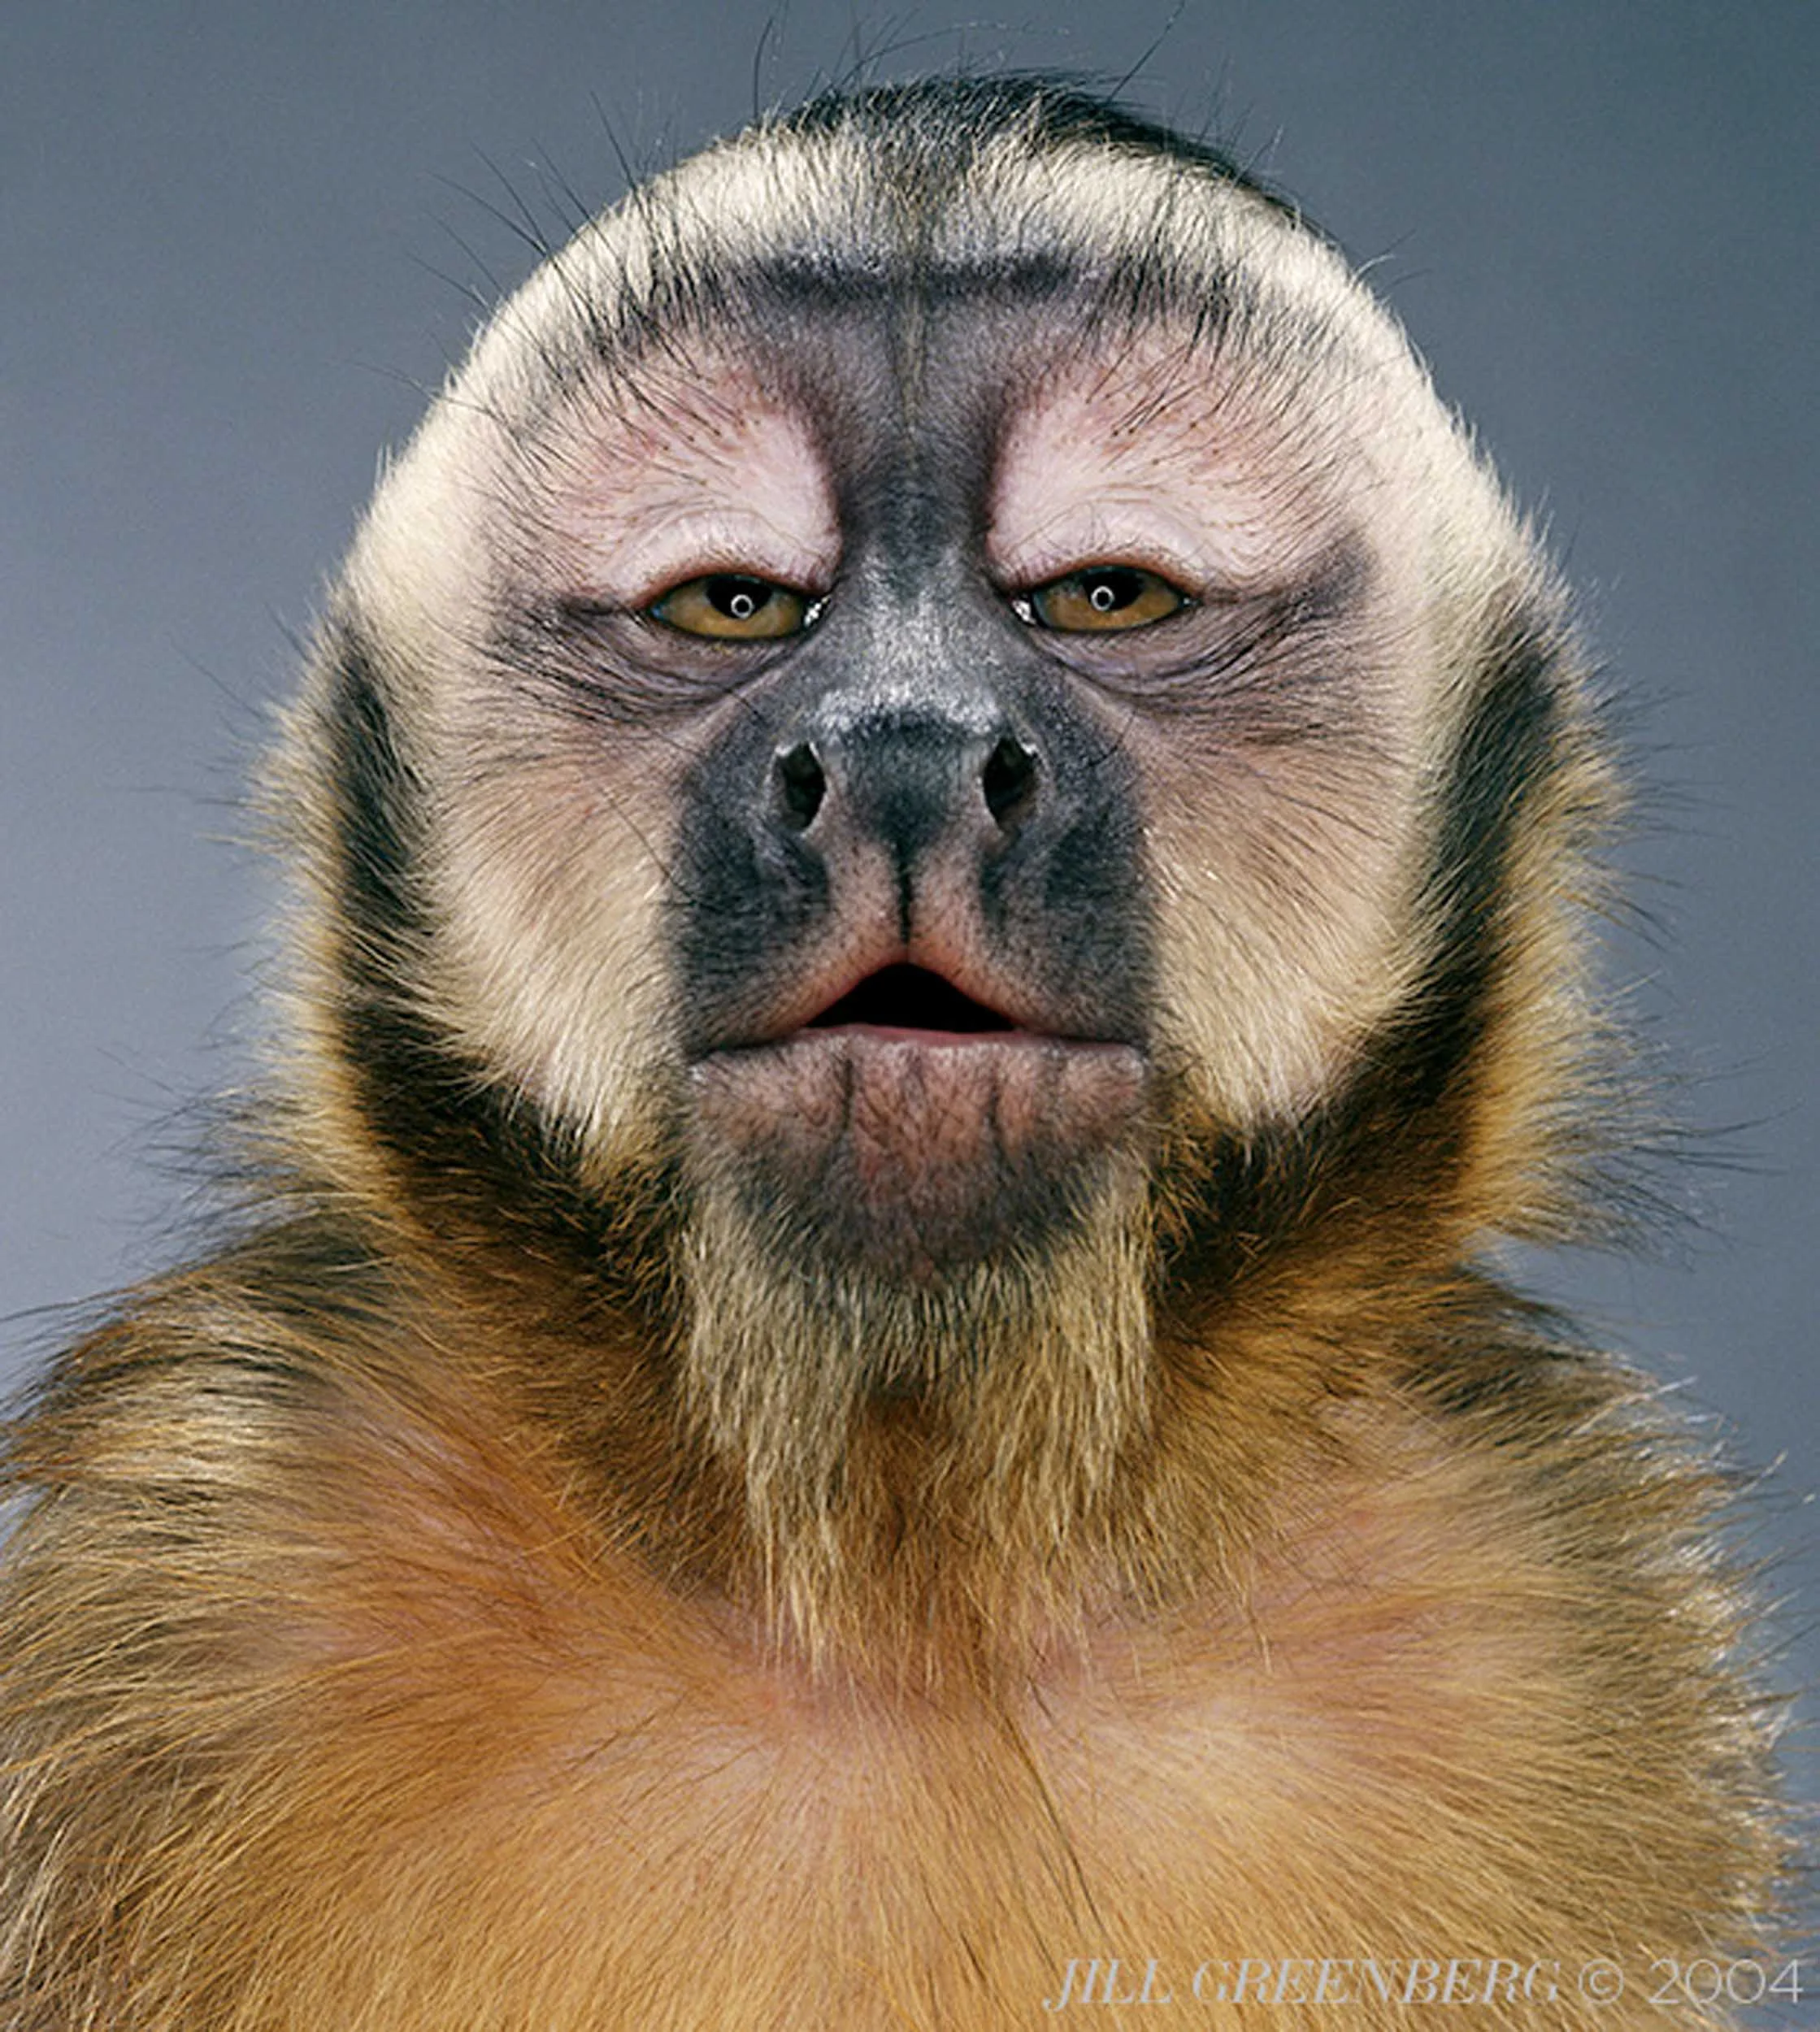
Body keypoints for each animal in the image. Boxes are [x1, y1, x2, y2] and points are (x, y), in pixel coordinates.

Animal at [0, 74, 1793, 2030]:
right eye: (731, 605)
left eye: (1102, 595)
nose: (905, 751)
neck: (916, 1594)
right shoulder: (195, 1552)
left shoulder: (1553, 1592)